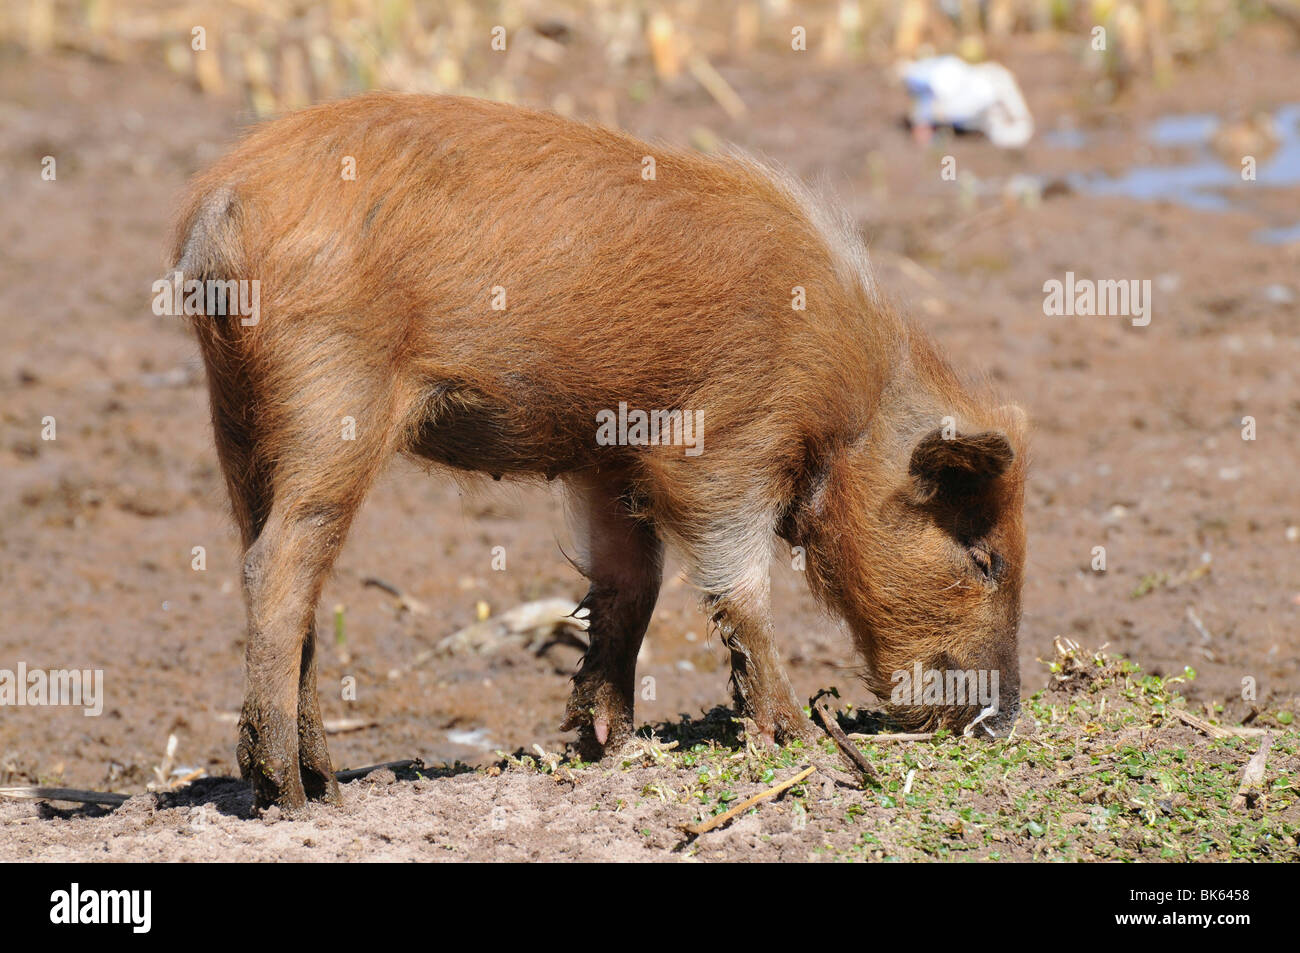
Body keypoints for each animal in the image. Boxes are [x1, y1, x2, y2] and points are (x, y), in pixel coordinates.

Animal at [169, 93, 1028, 812]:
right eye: (983, 557)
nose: (1003, 720)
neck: (852, 408)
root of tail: (222, 205)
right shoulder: (724, 443)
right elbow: (739, 586)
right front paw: (790, 733)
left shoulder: (609, 463)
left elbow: (628, 586)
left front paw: (603, 743)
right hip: (330, 396)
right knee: (277, 568)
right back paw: (290, 794)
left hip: (238, 416)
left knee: (283, 572)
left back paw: (325, 783)